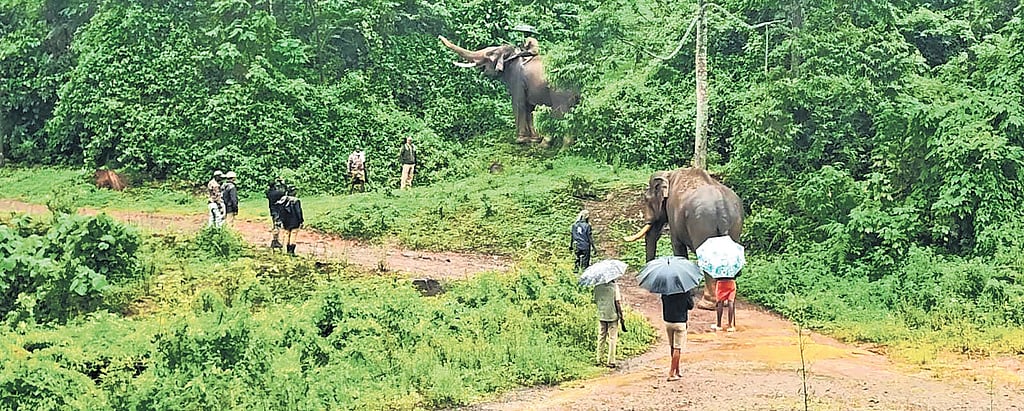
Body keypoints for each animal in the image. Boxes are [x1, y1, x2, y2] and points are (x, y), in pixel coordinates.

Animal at [438, 35, 578, 146]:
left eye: (488, 55)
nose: (439, 37)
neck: (511, 54)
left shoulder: (517, 79)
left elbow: (518, 103)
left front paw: (520, 140)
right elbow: (529, 108)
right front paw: (534, 139)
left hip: (559, 91)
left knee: (560, 112)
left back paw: (557, 145)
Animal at [624, 168, 744, 309]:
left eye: (646, 199)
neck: (669, 174)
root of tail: (722, 205)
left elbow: (677, 245)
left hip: (702, 223)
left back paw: (706, 304)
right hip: (735, 224)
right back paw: (725, 300)